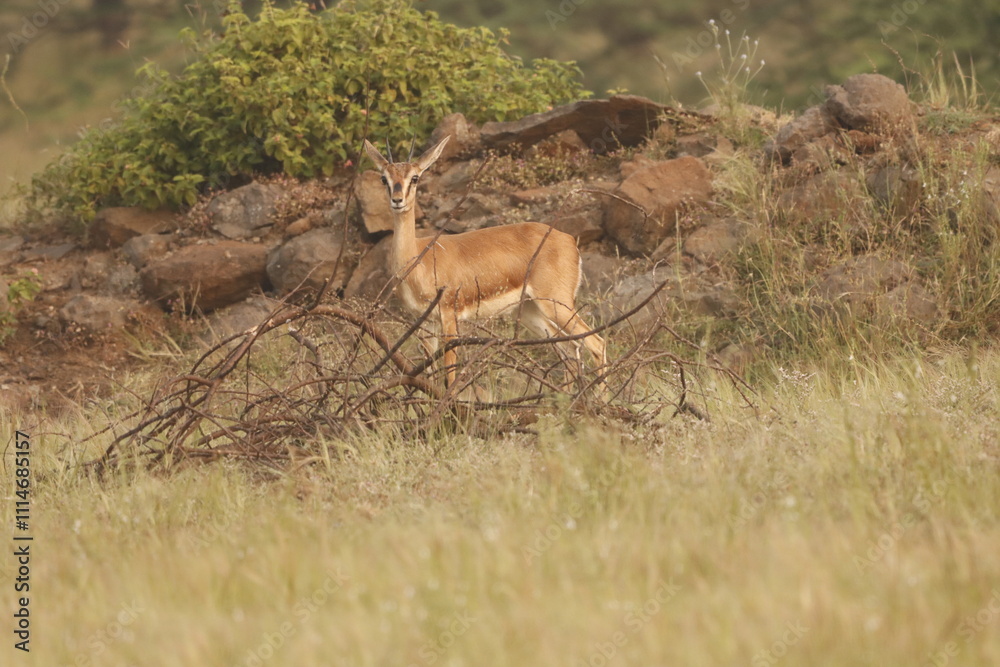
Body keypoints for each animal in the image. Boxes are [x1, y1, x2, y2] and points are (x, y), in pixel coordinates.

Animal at [362, 135, 606, 390]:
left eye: (415, 177)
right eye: (384, 178)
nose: (397, 200)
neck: (419, 259)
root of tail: (569, 241)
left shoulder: (449, 318)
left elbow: (450, 376)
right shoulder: (425, 324)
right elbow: (430, 377)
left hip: (557, 304)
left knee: (596, 343)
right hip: (531, 311)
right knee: (570, 346)